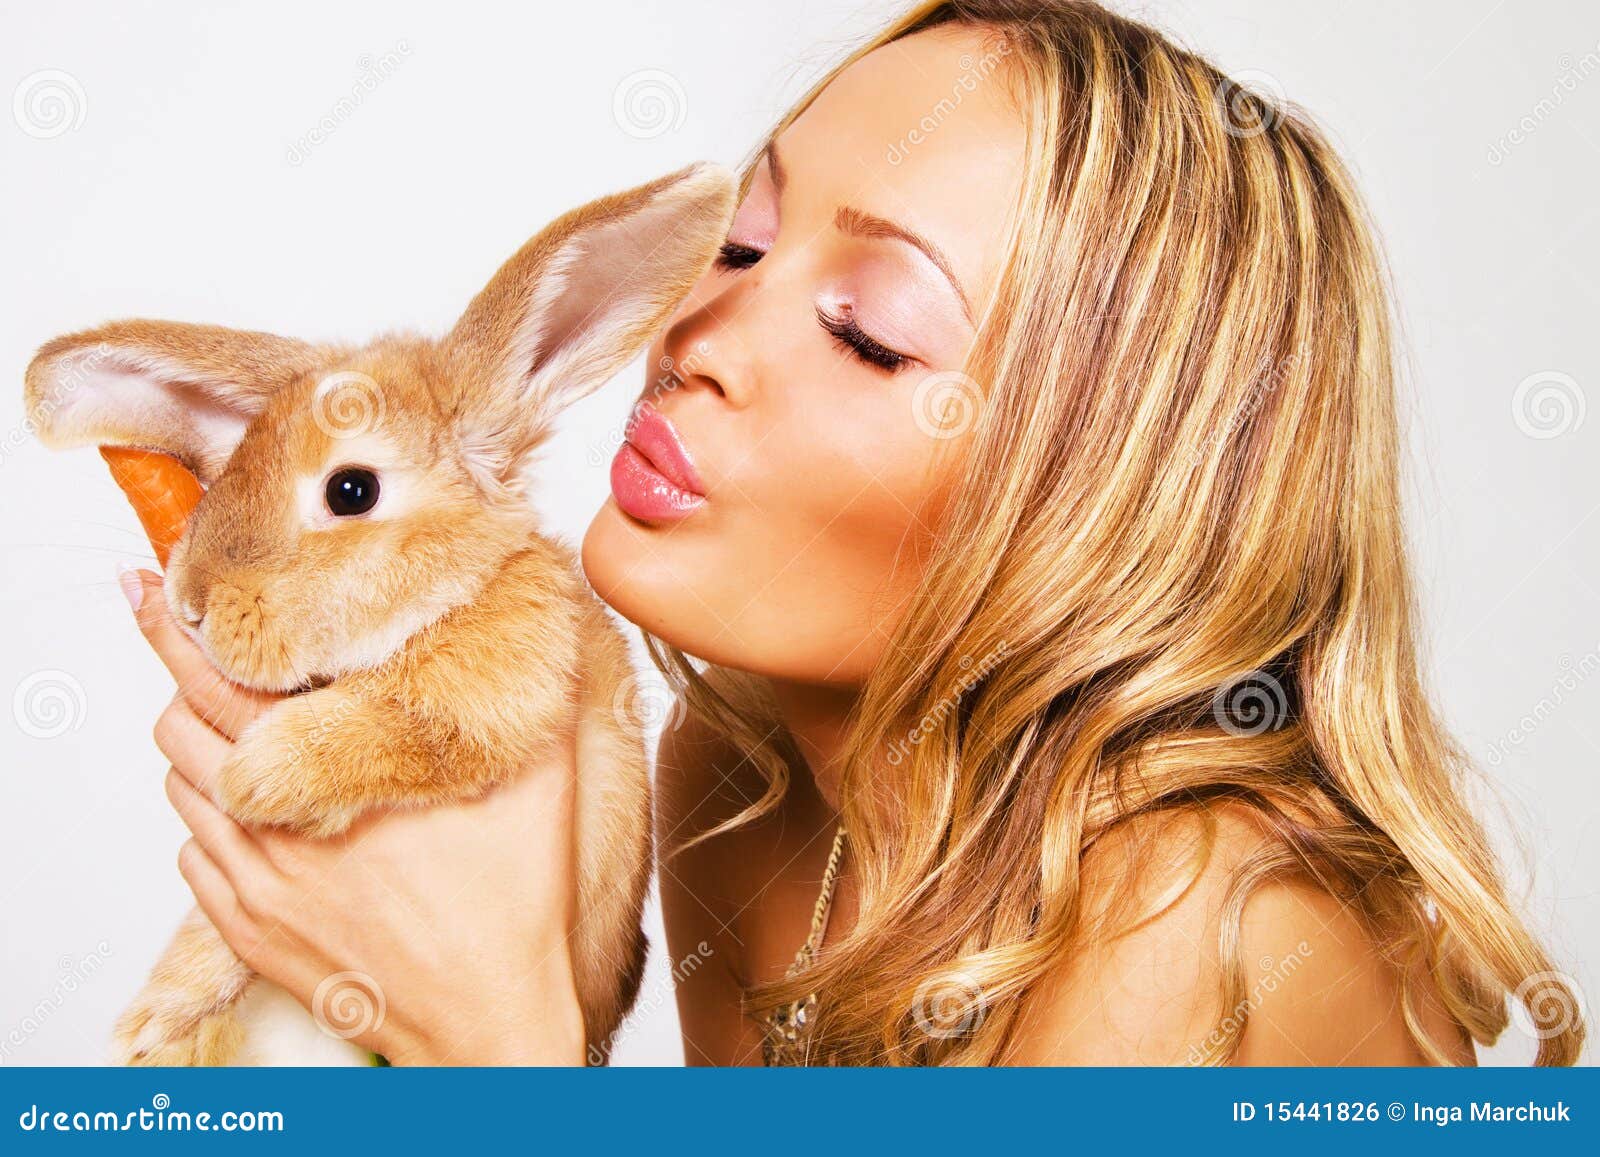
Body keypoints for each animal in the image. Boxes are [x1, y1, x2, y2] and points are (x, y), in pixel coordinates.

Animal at [23, 162, 737, 1065]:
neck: (450, 593)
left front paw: (257, 773)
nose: (192, 603)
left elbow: (389, 727)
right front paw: (153, 1024)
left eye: (351, 489)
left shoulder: (490, 698)